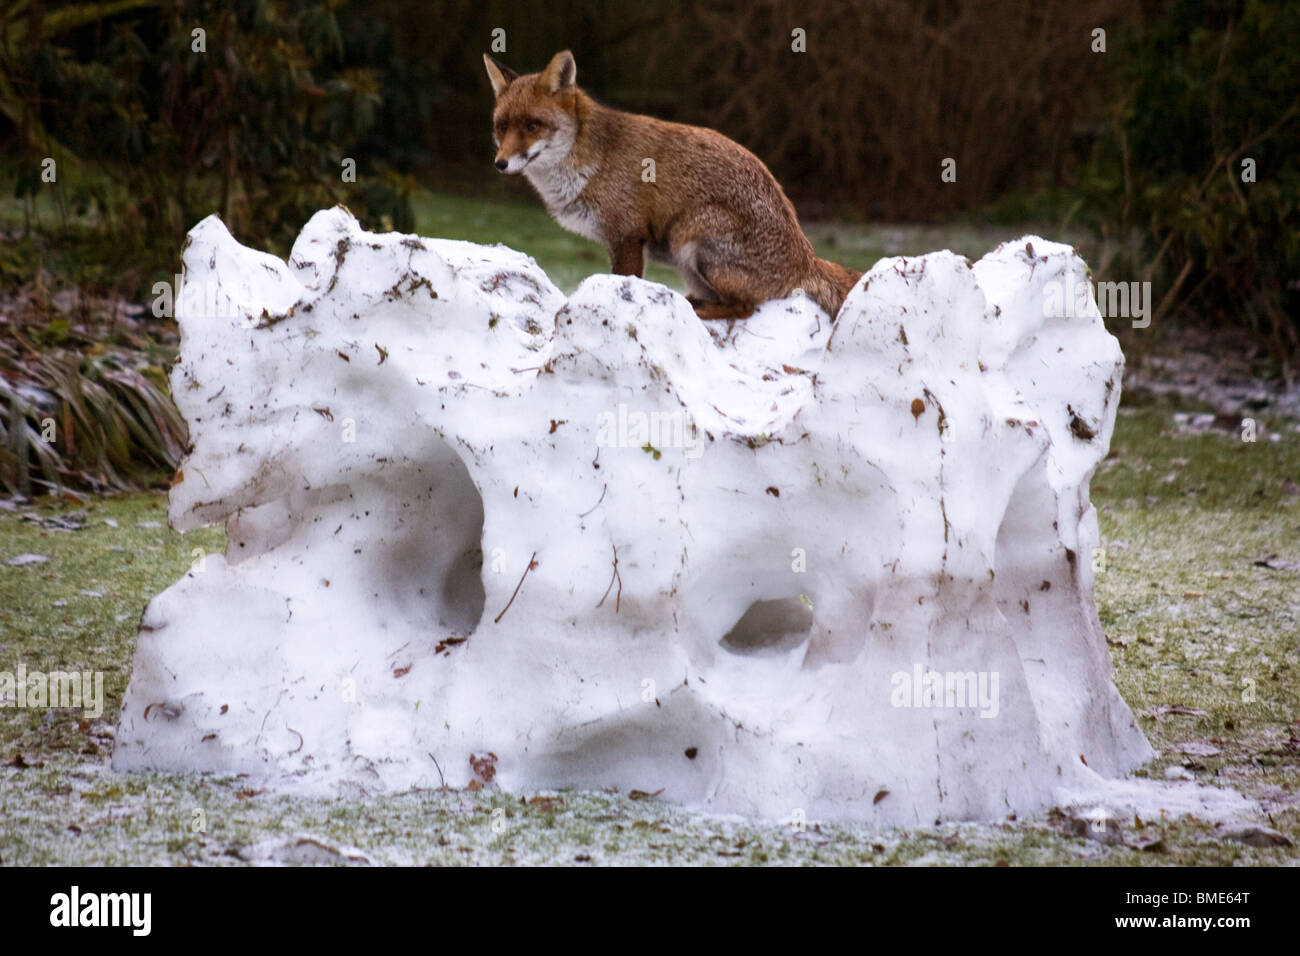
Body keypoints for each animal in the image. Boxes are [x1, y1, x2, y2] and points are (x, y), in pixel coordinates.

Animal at [483, 50, 861, 320]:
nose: (500, 163)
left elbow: (627, 280)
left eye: (532, 126)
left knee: (745, 307)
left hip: (690, 236)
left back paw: (698, 309)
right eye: (502, 127)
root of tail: (808, 258)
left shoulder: (628, 235)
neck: (588, 162)